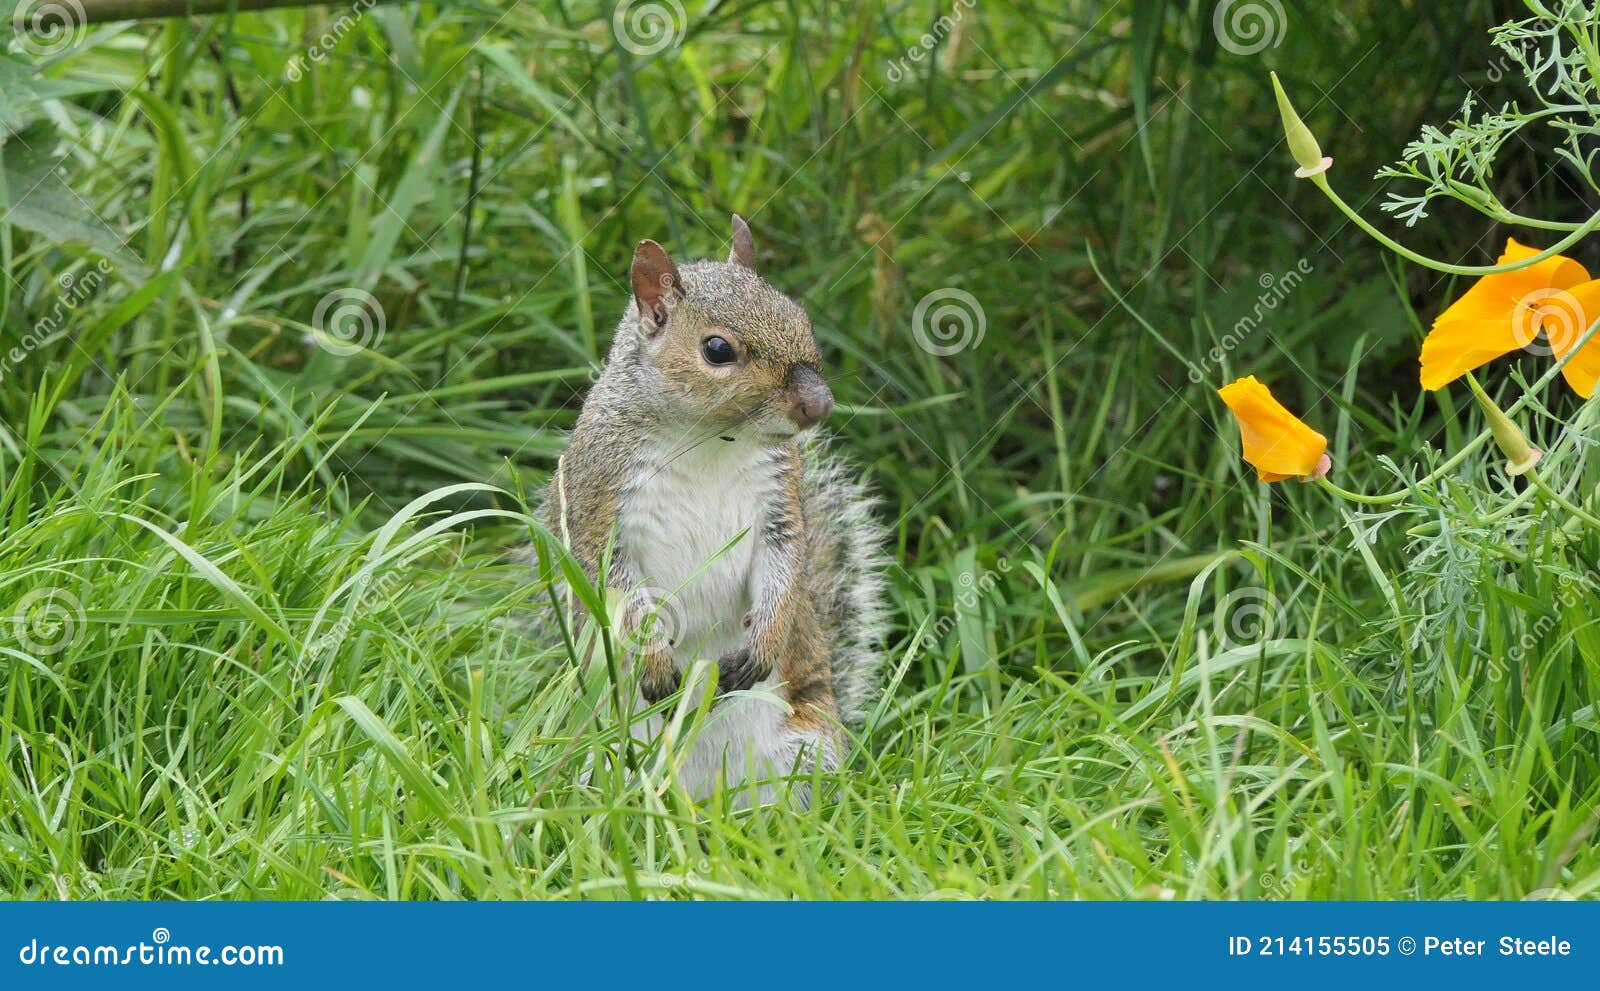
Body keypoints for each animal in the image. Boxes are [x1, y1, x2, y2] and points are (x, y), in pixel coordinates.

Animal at [540, 214, 887, 804]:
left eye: (801, 319)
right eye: (718, 350)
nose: (819, 405)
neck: (707, 440)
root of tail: (705, 794)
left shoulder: (779, 503)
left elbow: (786, 568)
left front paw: (763, 645)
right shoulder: (597, 499)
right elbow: (613, 584)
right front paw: (654, 660)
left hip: (806, 752)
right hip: (600, 762)